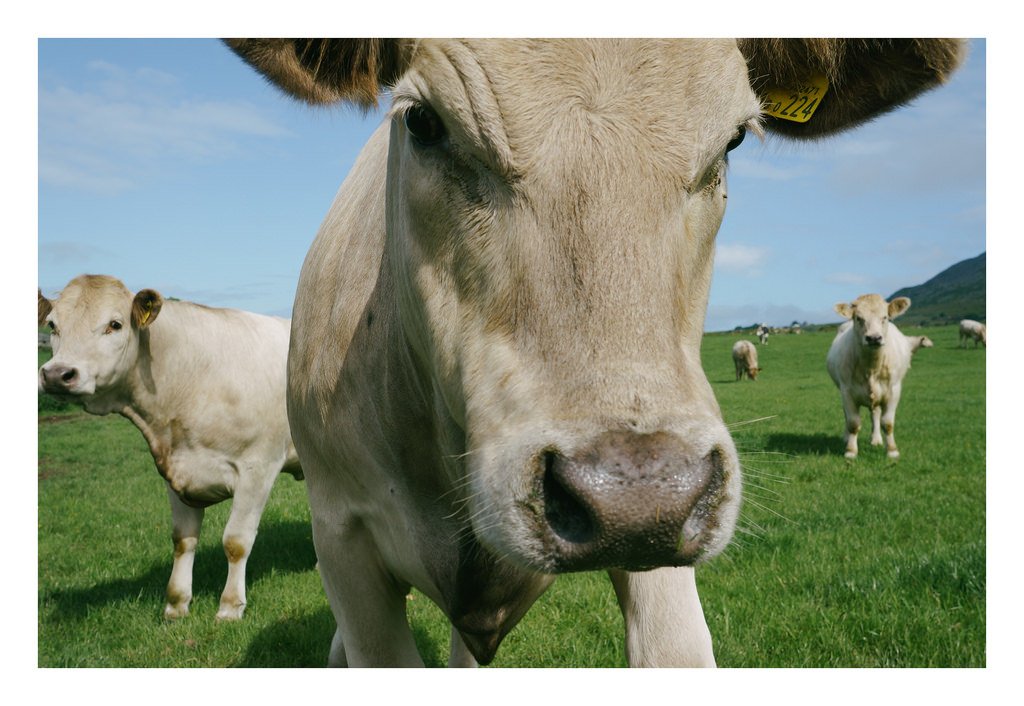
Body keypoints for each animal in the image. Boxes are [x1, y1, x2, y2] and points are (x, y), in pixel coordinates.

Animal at [38, 274, 302, 621]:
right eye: (52, 324)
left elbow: (236, 541)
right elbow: (182, 540)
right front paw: (176, 605)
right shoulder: (175, 469)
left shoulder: (258, 466)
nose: (57, 374)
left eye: (114, 324)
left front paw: (230, 607)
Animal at [827, 294, 915, 460]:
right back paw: (847, 437)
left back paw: (876, 439)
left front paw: (892, 450)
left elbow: (887, 423)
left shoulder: (893, 391)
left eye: (885, 317)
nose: (874, 338)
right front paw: (850, 451)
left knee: (875, 414)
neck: (871, 368)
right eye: (859, 318)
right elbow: (853, 423)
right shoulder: (847, 391)